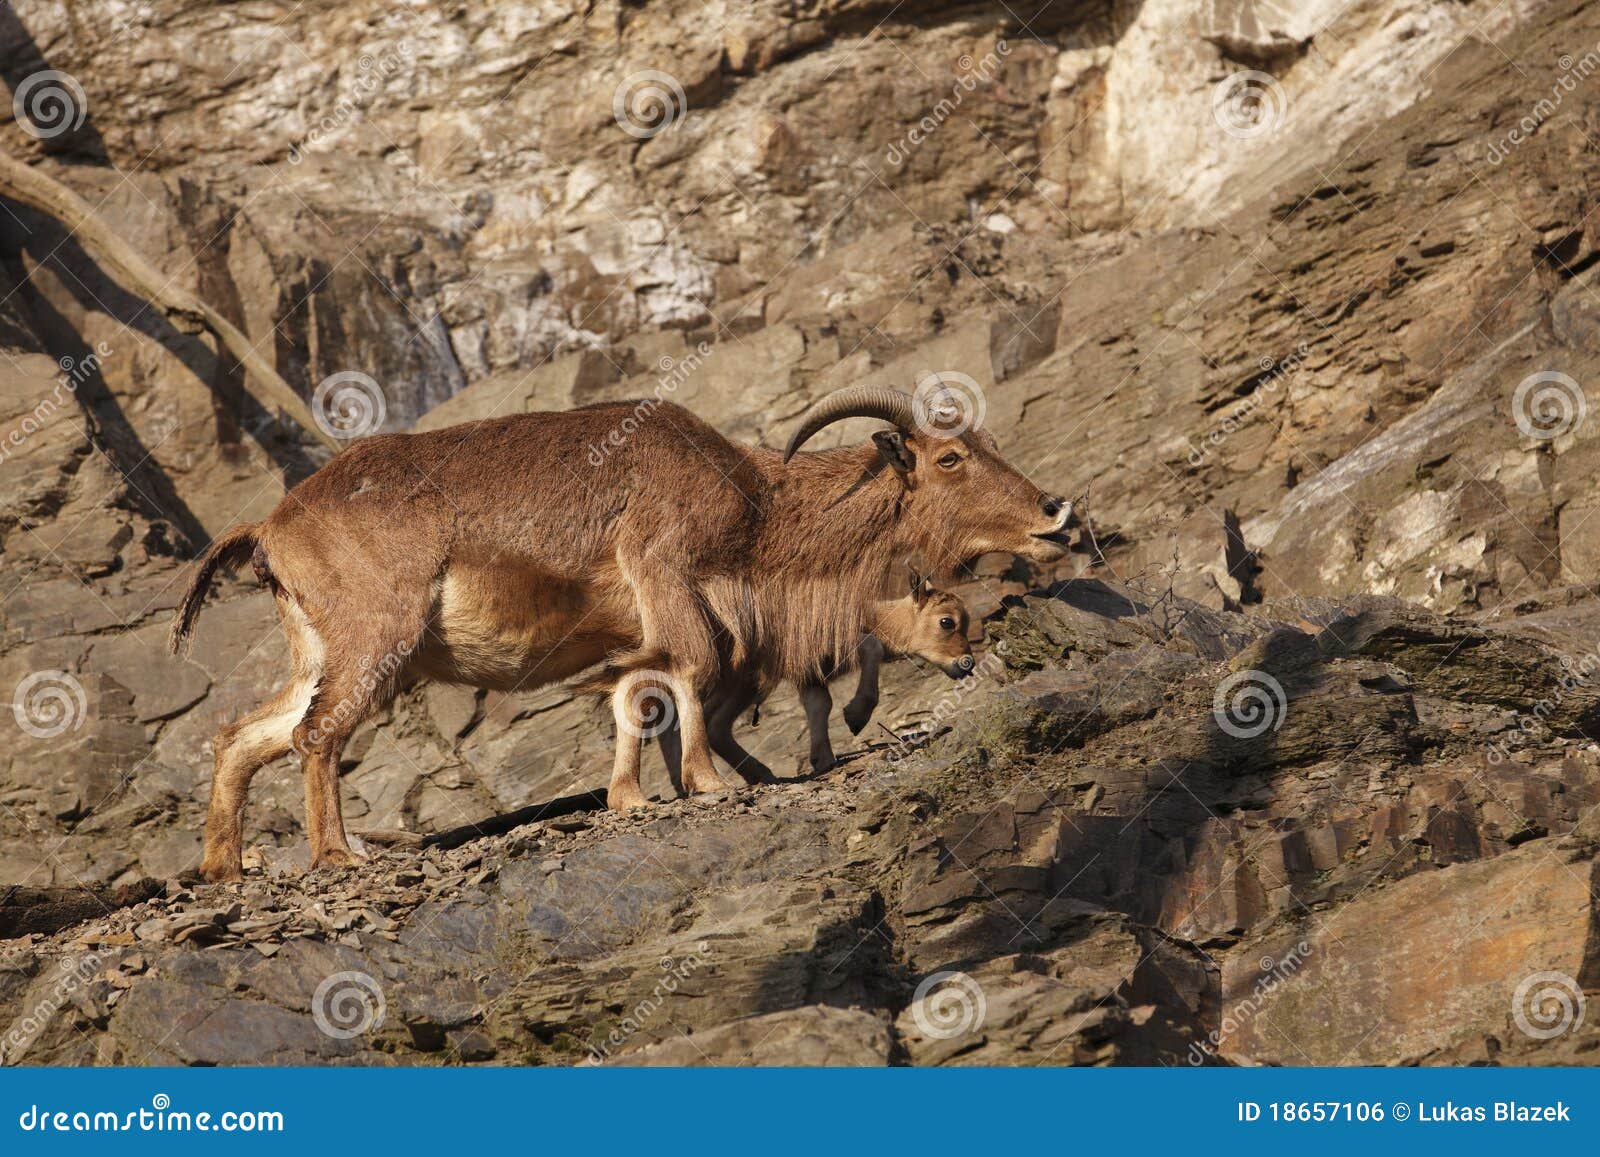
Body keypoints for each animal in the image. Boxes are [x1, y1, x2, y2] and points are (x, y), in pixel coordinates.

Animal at [169, 384, 1071, 881]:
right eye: (950, 458)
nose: (1054, 513)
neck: (754, 502)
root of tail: (270, 526)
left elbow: (650, 687)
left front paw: (648, 789)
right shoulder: (664, 566)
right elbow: (690, 670)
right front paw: (710, 781)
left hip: (321, 649)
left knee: (244, 734)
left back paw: (224, 865)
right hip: (374, 638)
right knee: (318, 733)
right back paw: (339, 853)